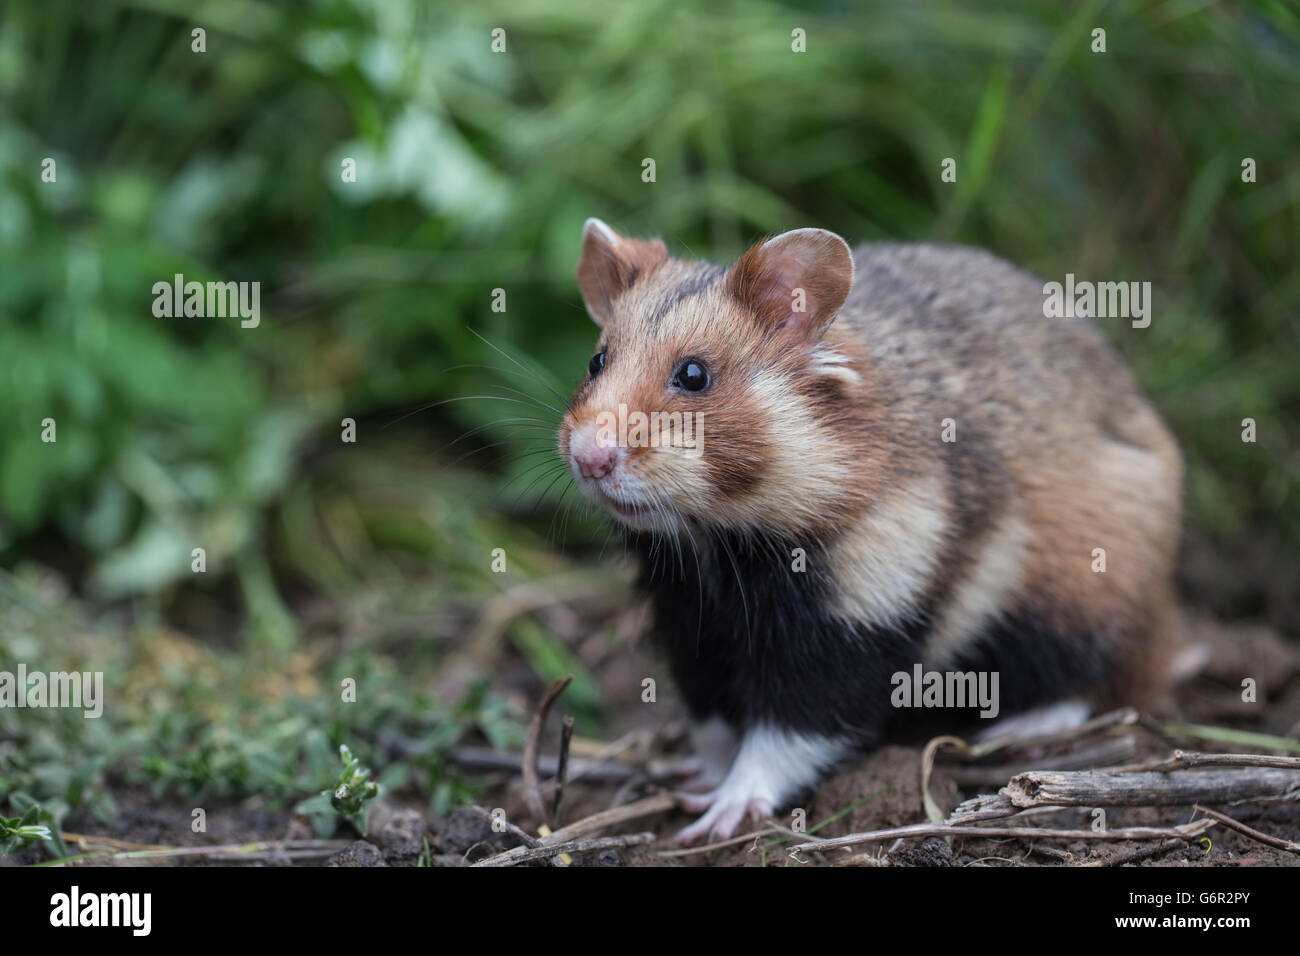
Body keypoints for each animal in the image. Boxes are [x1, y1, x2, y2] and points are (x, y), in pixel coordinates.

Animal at [558, 218, 1183, 843]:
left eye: (694, 375)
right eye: (596, 361)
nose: (589, 459)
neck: (719, 537)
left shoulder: (858, 619)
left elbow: (787, 736)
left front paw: (718, 817)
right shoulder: (687, 620)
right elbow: (710, 721)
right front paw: (695, 781)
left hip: (1080, 593)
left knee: (1103, 676)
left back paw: (1021, 731)